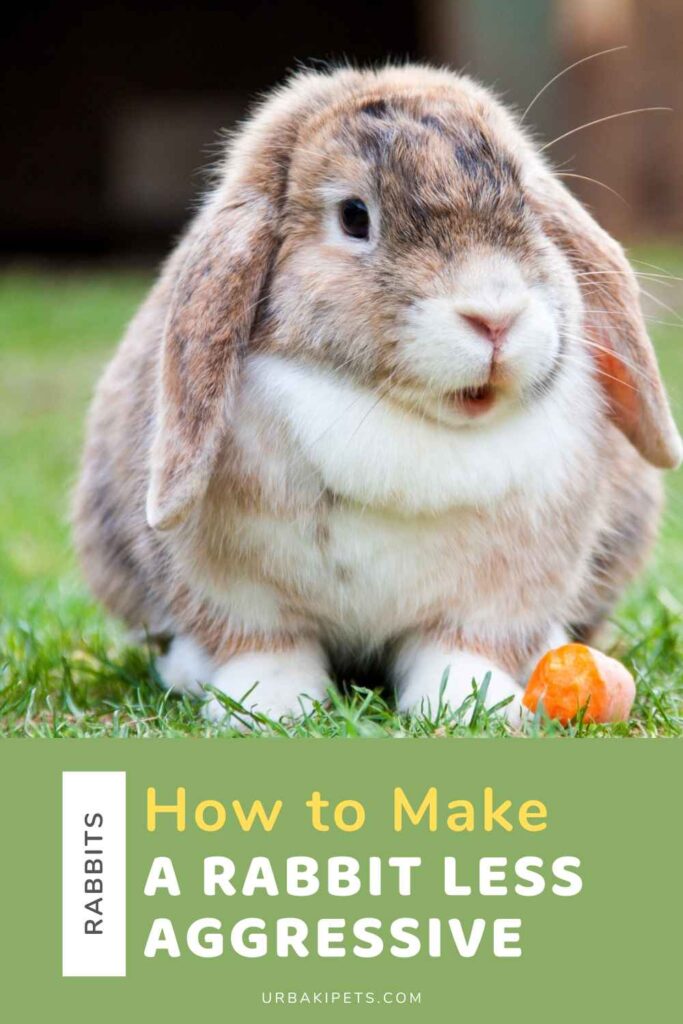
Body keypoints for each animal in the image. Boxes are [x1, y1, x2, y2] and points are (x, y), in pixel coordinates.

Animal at [73, 64, 682, 727]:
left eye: (525, 201)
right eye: (354, 217)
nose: (495, 316)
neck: (400, 417)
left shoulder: (496, 597)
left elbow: (460, 649)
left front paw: (473, 706)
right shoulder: (238, 594)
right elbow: (266, 646)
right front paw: (267, 707)